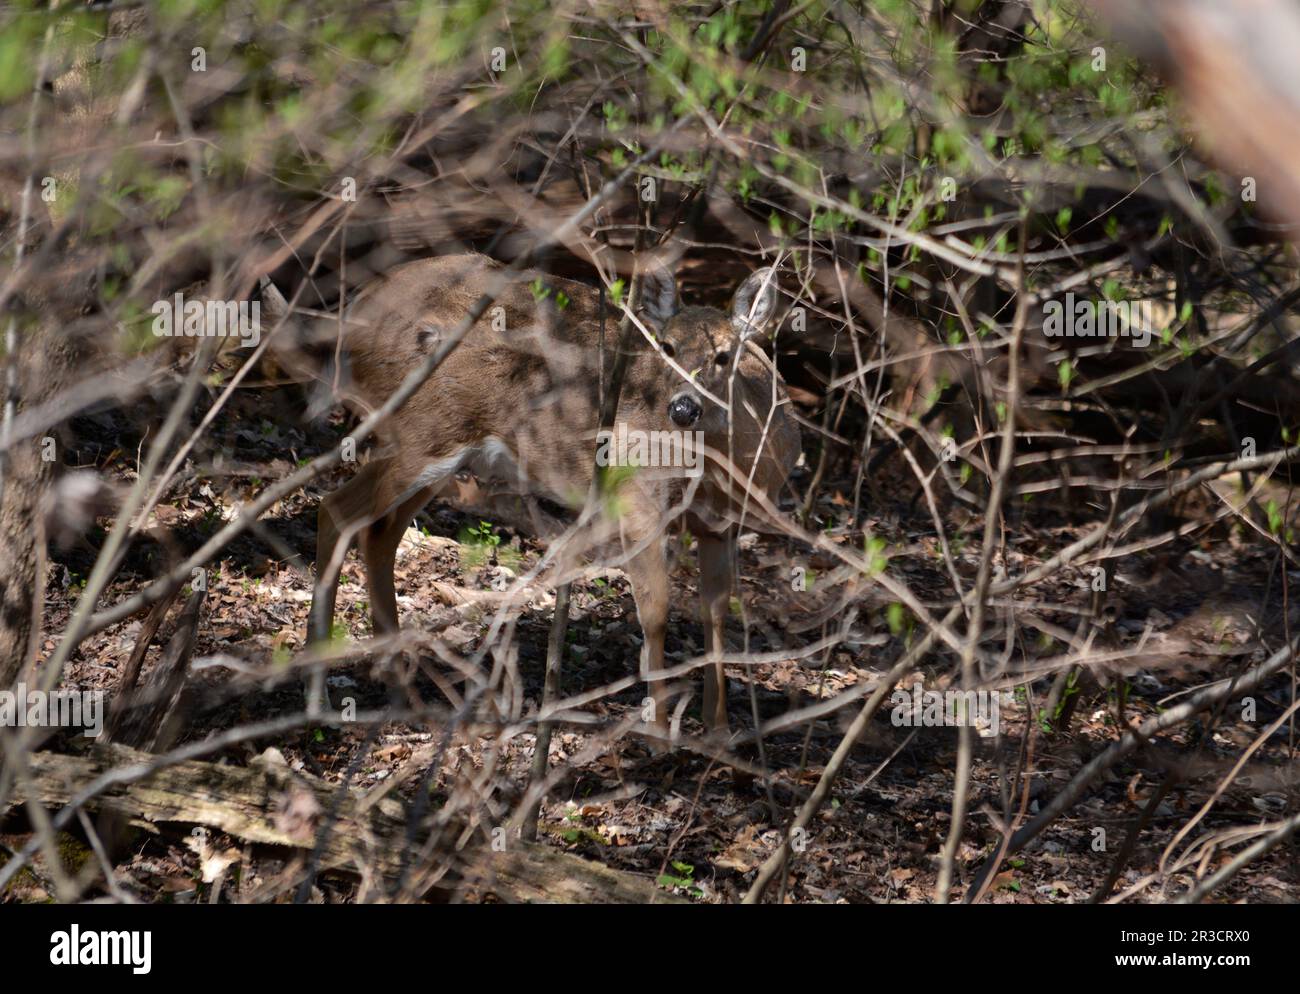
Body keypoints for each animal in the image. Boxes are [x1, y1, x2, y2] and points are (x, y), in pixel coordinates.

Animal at [262, 253, 800, 742]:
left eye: (725, 355)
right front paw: (658, 733)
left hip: (437, 452)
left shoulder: (720, 525)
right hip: (423, 432)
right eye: (666, 348)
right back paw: (319, 696)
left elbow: (717, 613)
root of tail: (357, 311)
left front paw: (718, 729)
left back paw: (400, 692)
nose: (682, 408)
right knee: (336, 510)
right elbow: (656, 612)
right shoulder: (638, 502)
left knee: (378, 534)